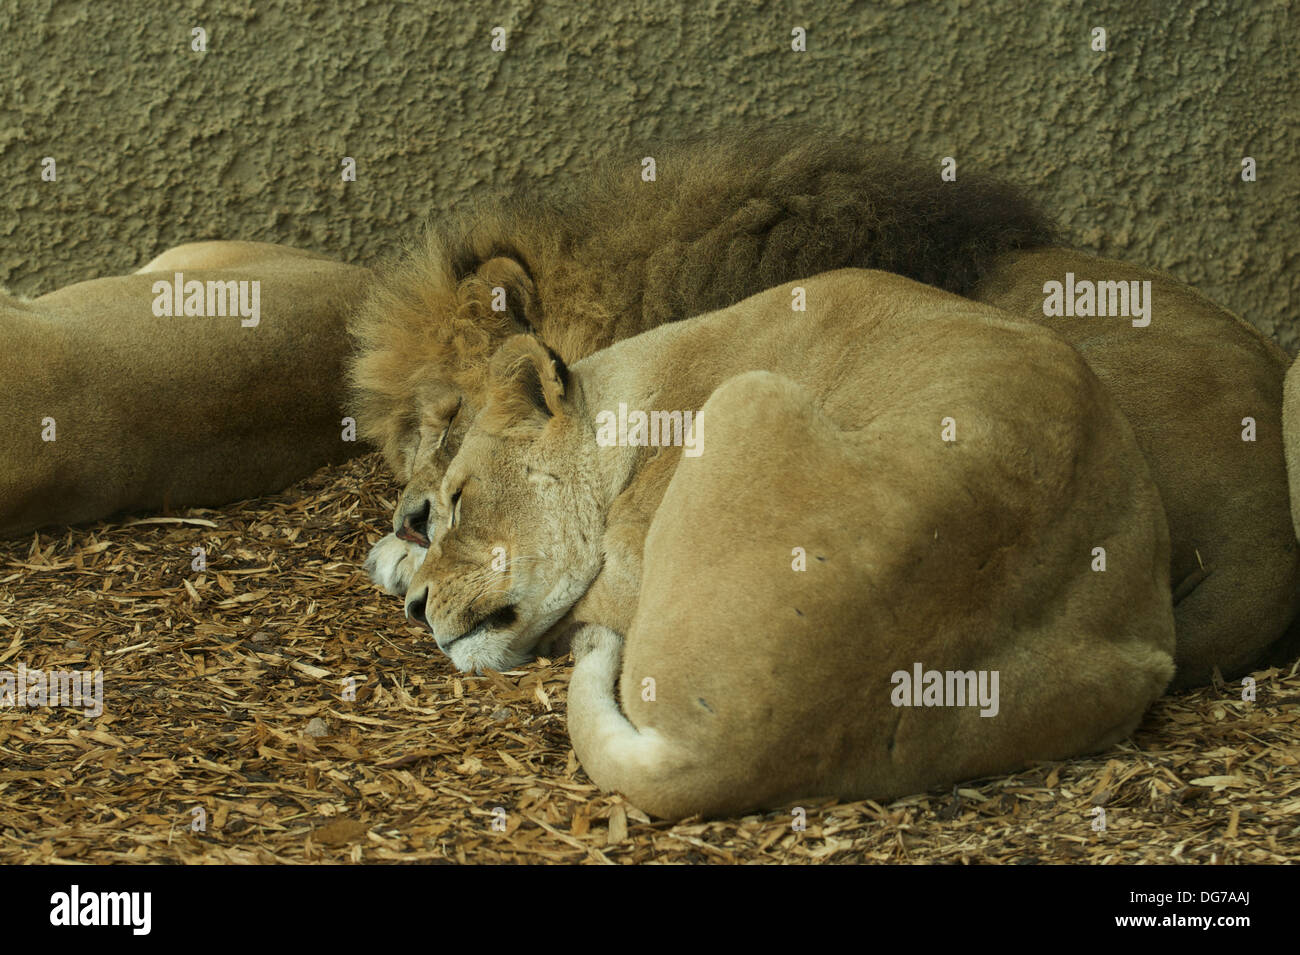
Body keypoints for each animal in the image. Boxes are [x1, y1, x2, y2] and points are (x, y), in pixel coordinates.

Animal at [400, 270, 1176, 819]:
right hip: (1133, 666)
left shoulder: (630, 558)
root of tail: (725, 756)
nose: (413, 607)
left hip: (747, 399)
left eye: (461, 500)